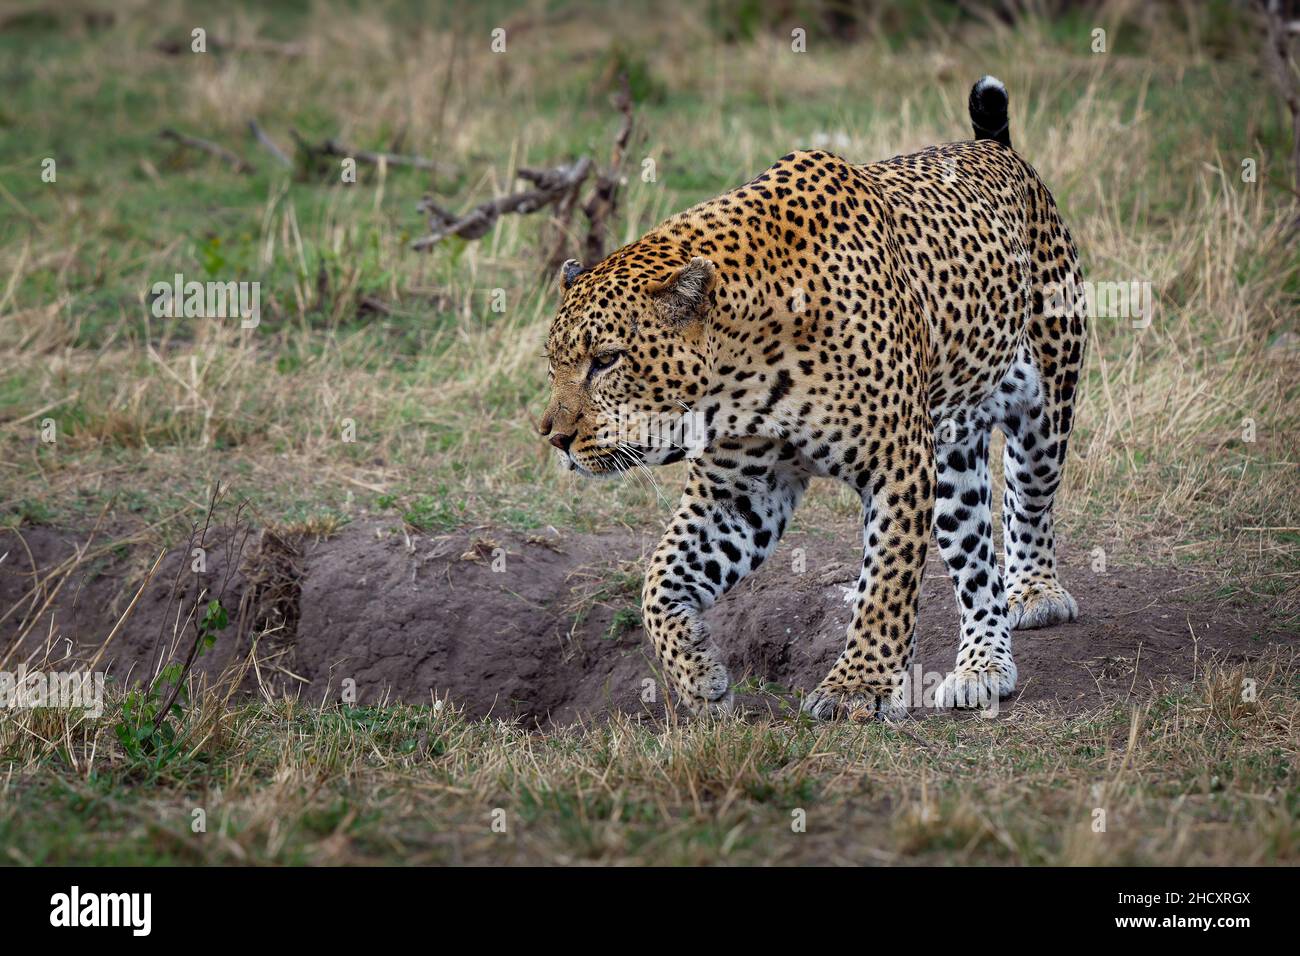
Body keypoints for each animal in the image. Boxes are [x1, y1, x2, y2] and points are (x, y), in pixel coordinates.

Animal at [539, 76, 1086, 719]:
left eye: (605, 360)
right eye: (553, 363)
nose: (554, 437)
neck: (743, 369)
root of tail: (994, 149)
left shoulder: (898, 463)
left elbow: (886, 581)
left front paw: (859, 687)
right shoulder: (739, 490)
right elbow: (659, 579)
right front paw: (699, 676)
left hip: (1046, 402)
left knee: (1028, 501)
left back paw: (1035, 594)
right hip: (954, 454)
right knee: (975, 559)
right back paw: (982, 667)